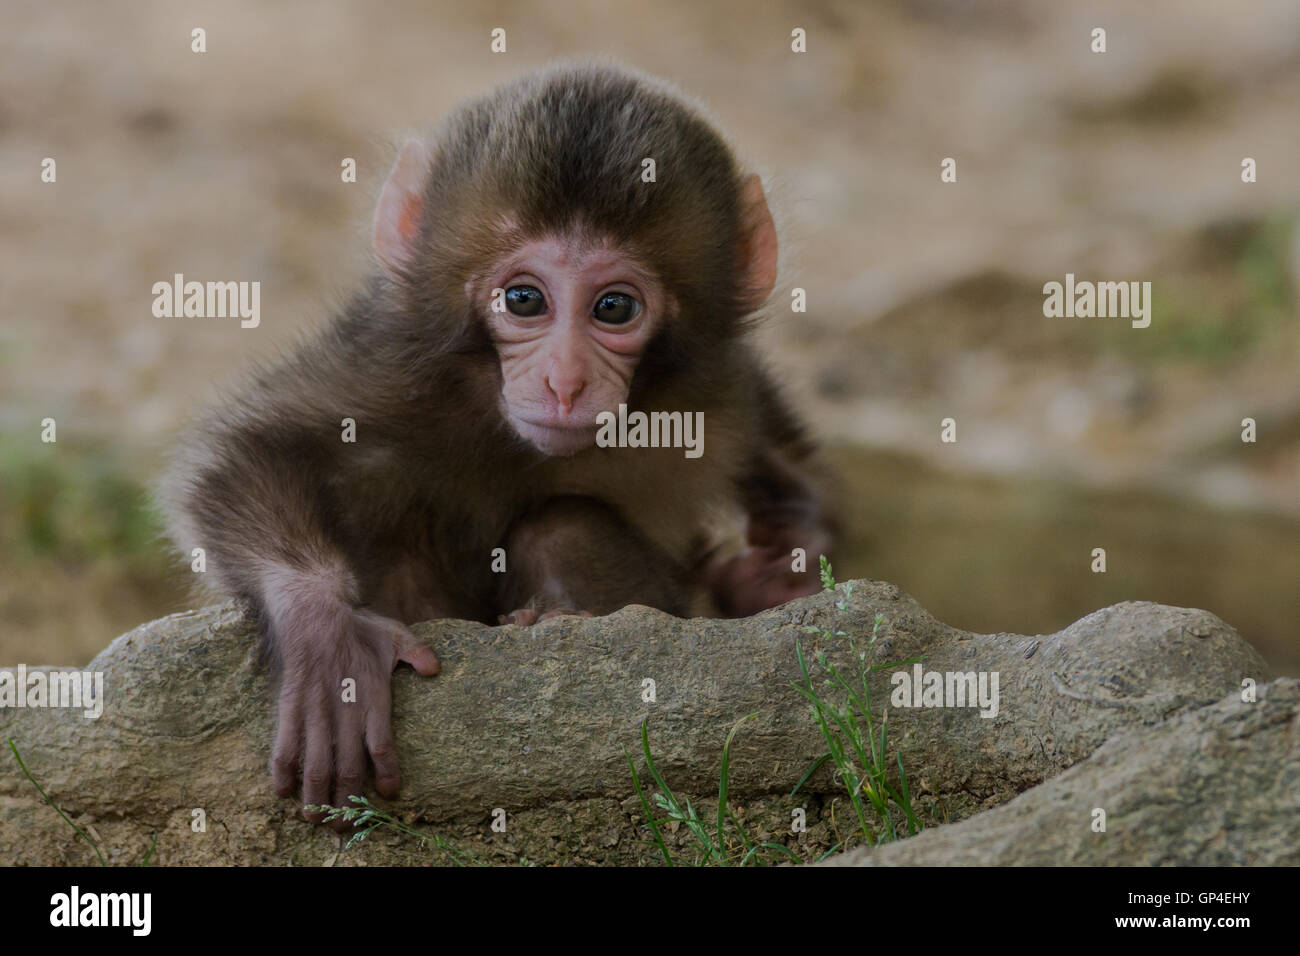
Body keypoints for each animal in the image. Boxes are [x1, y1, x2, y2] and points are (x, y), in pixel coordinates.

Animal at [161, 61, 836, 820]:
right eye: (523, 300)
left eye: (614, 307)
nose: (565, 381)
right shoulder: (394, 364)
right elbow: (248, 452)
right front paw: (324, 630)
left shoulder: (718, 382)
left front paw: (787, 552)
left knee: (562, 525)